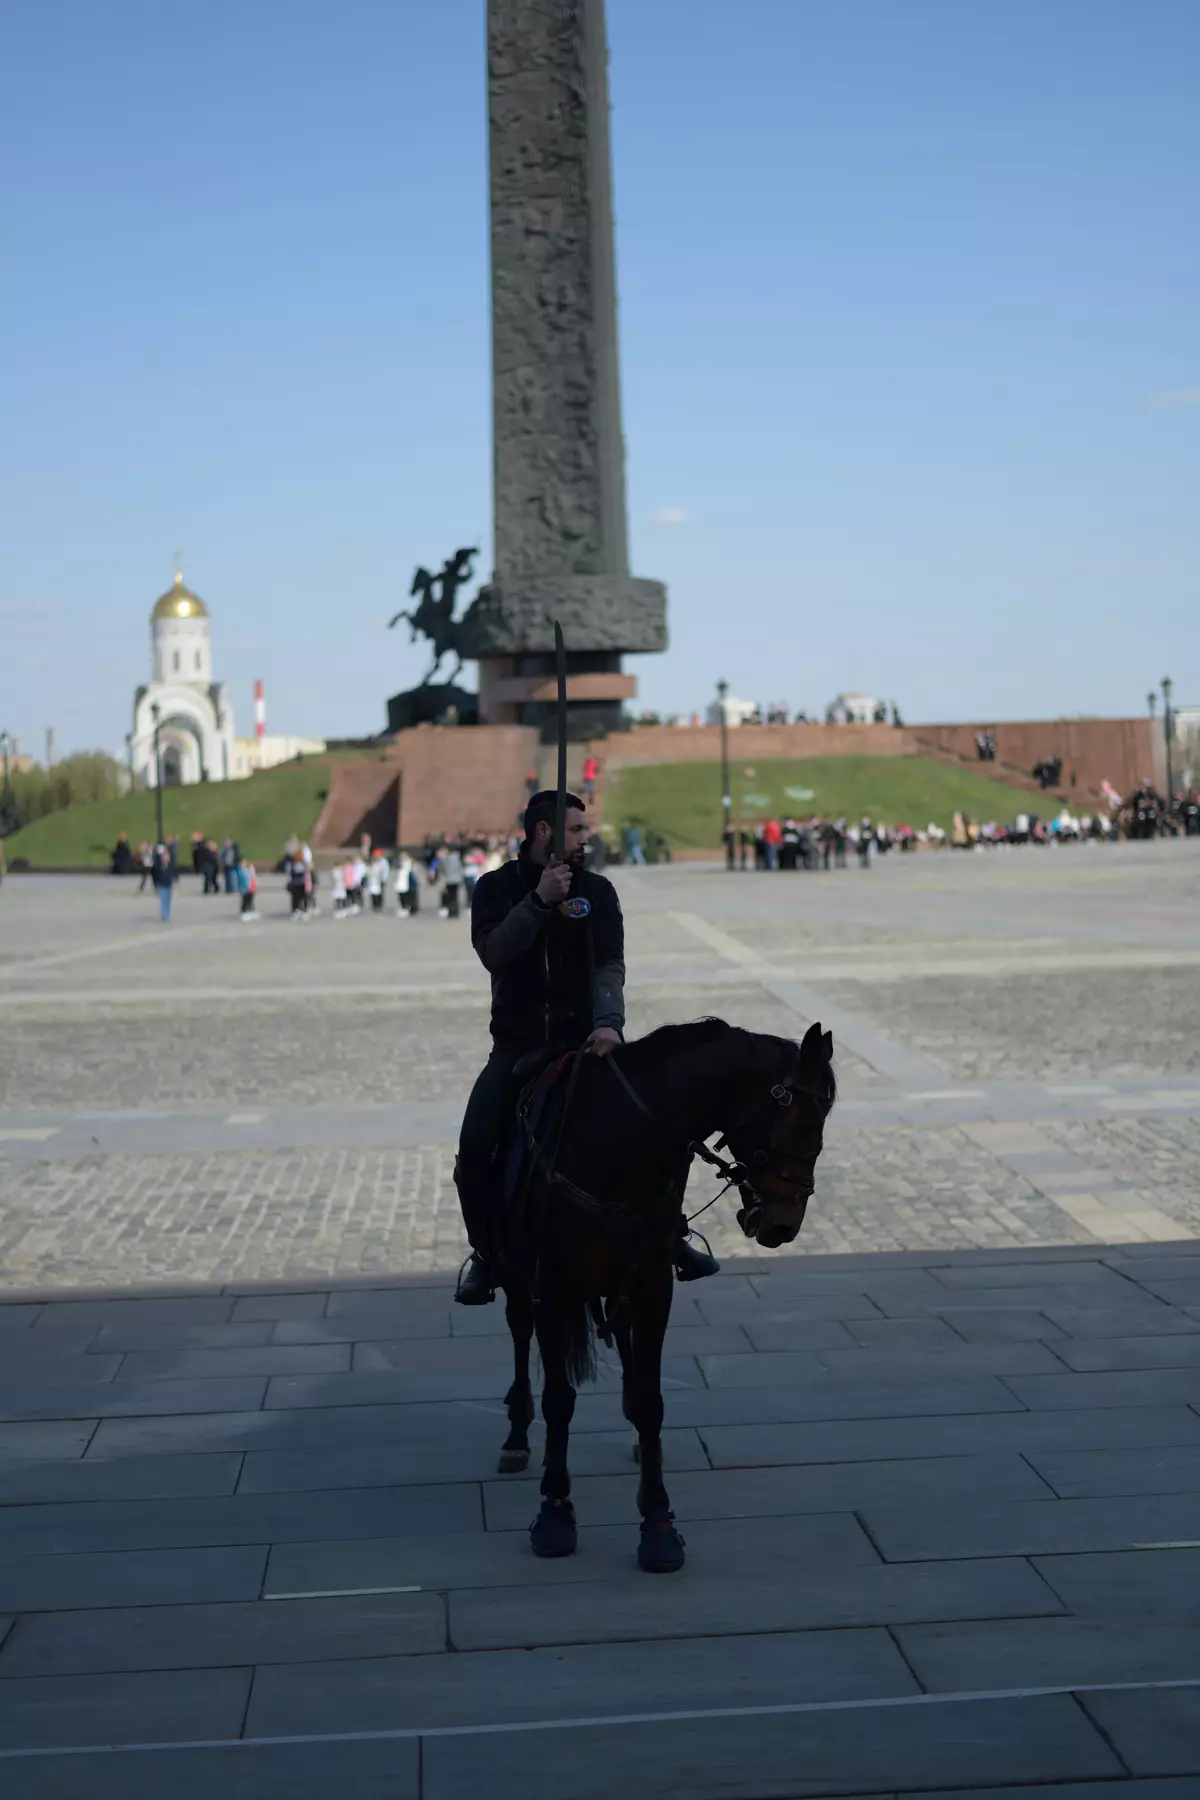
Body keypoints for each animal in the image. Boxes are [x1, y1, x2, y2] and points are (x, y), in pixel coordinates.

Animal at [489, 1029, 834, 1576]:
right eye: (804, 1124)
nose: (785, 1224)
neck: (617, 1149)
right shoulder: (552, 1285)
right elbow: (559, 1400)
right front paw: (555, 1512)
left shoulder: (653, 1287)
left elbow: (651, 1402)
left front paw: (657, 1523)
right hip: (517, 1277)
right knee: (520, 1332)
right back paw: (518, 1436)